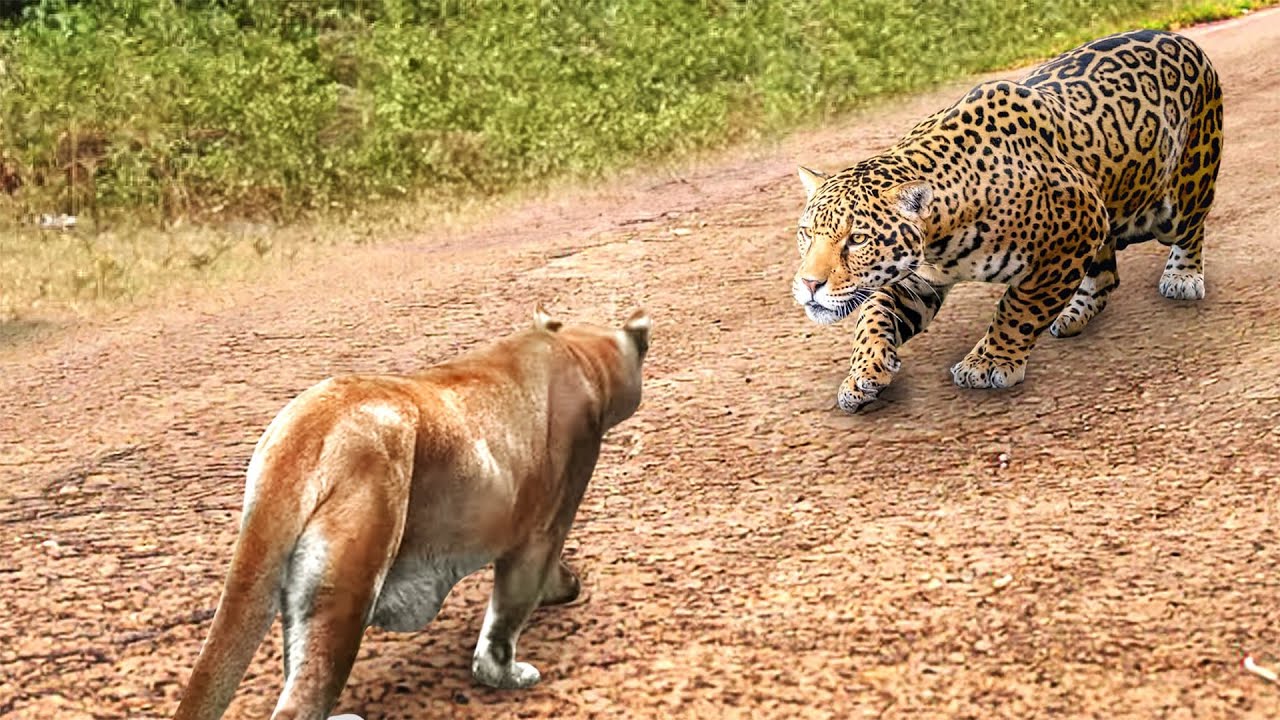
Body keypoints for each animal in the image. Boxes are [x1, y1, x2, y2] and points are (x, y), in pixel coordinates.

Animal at [790, 29, 1222, 413]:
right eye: (807, 234)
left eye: (858, 239)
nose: (809, 284)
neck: (940, 237)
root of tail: (1182, 38)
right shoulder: (918, 279)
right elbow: (874, 316)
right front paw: (863, 373)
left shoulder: (1073, 234)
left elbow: (1019, 306)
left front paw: (989, 363)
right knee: (1105, 276)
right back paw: (1073, 315)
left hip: (1179, 195)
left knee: (1191, 227)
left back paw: (1182, 277)